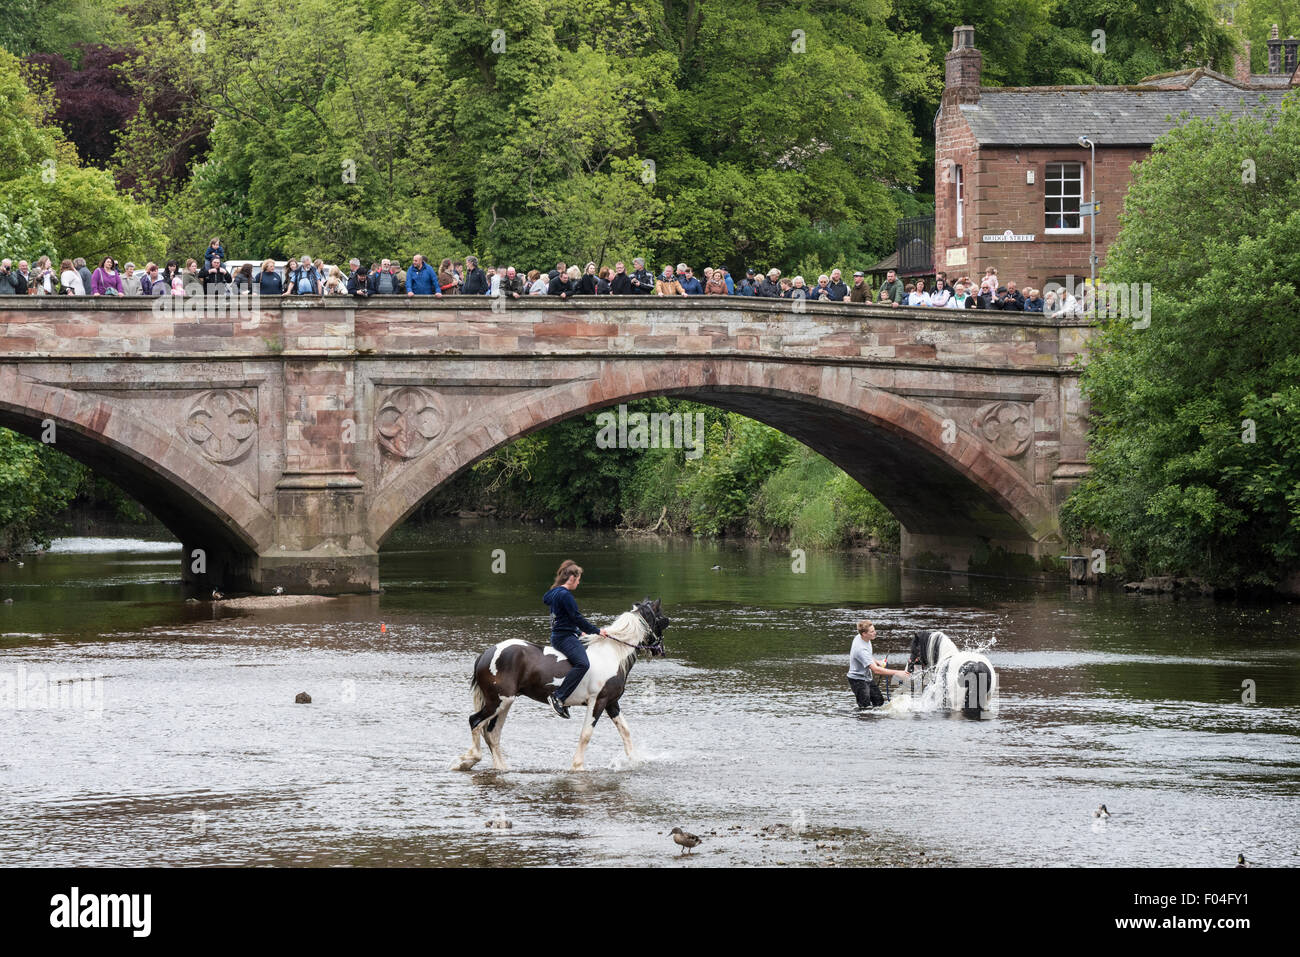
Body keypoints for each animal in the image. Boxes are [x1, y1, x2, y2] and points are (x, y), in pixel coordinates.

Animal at [452, 600, 670, 774]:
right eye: (661, 619)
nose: (661, 650)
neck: (612, 654)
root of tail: (486, 654)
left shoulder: (611, 703)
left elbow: (625, 731)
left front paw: (634, 761)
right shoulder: (598, 701)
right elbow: (586, 734)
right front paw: (577, 766)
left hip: (505, 703)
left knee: (492, 733)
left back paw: (501, 768)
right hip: (498, 701)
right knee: (475, 722)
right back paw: (468, 761)